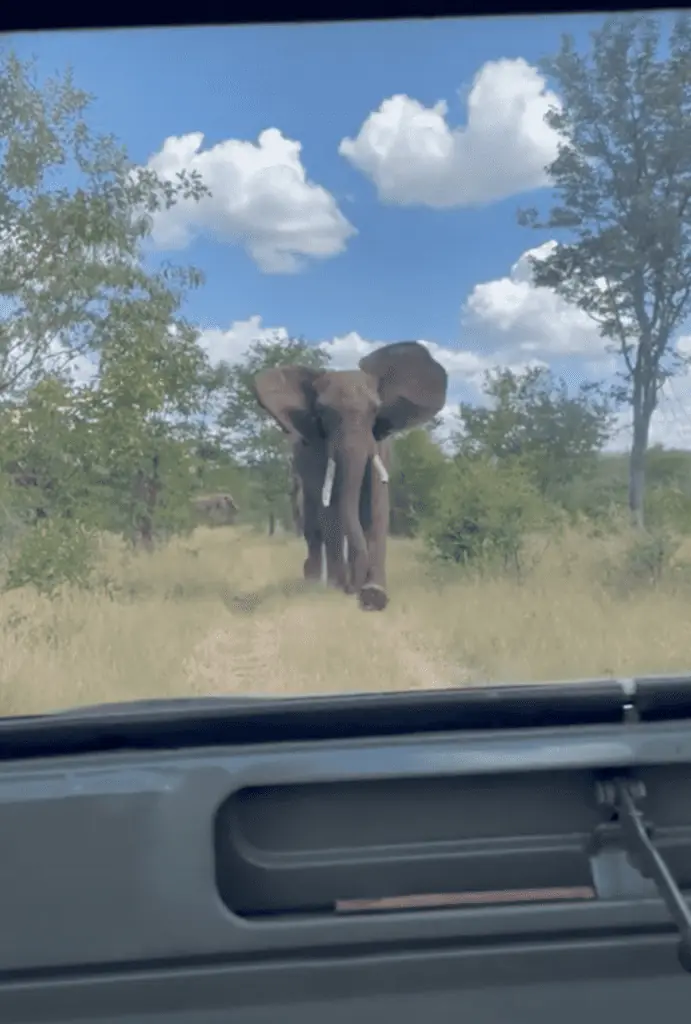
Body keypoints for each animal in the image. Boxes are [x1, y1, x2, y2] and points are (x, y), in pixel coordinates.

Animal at [252, 341, 448, 611]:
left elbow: (376, 506)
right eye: (322, 413)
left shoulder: (379, 446)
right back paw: (313, 581)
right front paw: (337, 589)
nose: (354, 589)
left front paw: (374, 594)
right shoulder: (317, 452)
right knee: (313, 525)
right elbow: (332, 509)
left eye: (375, 410)